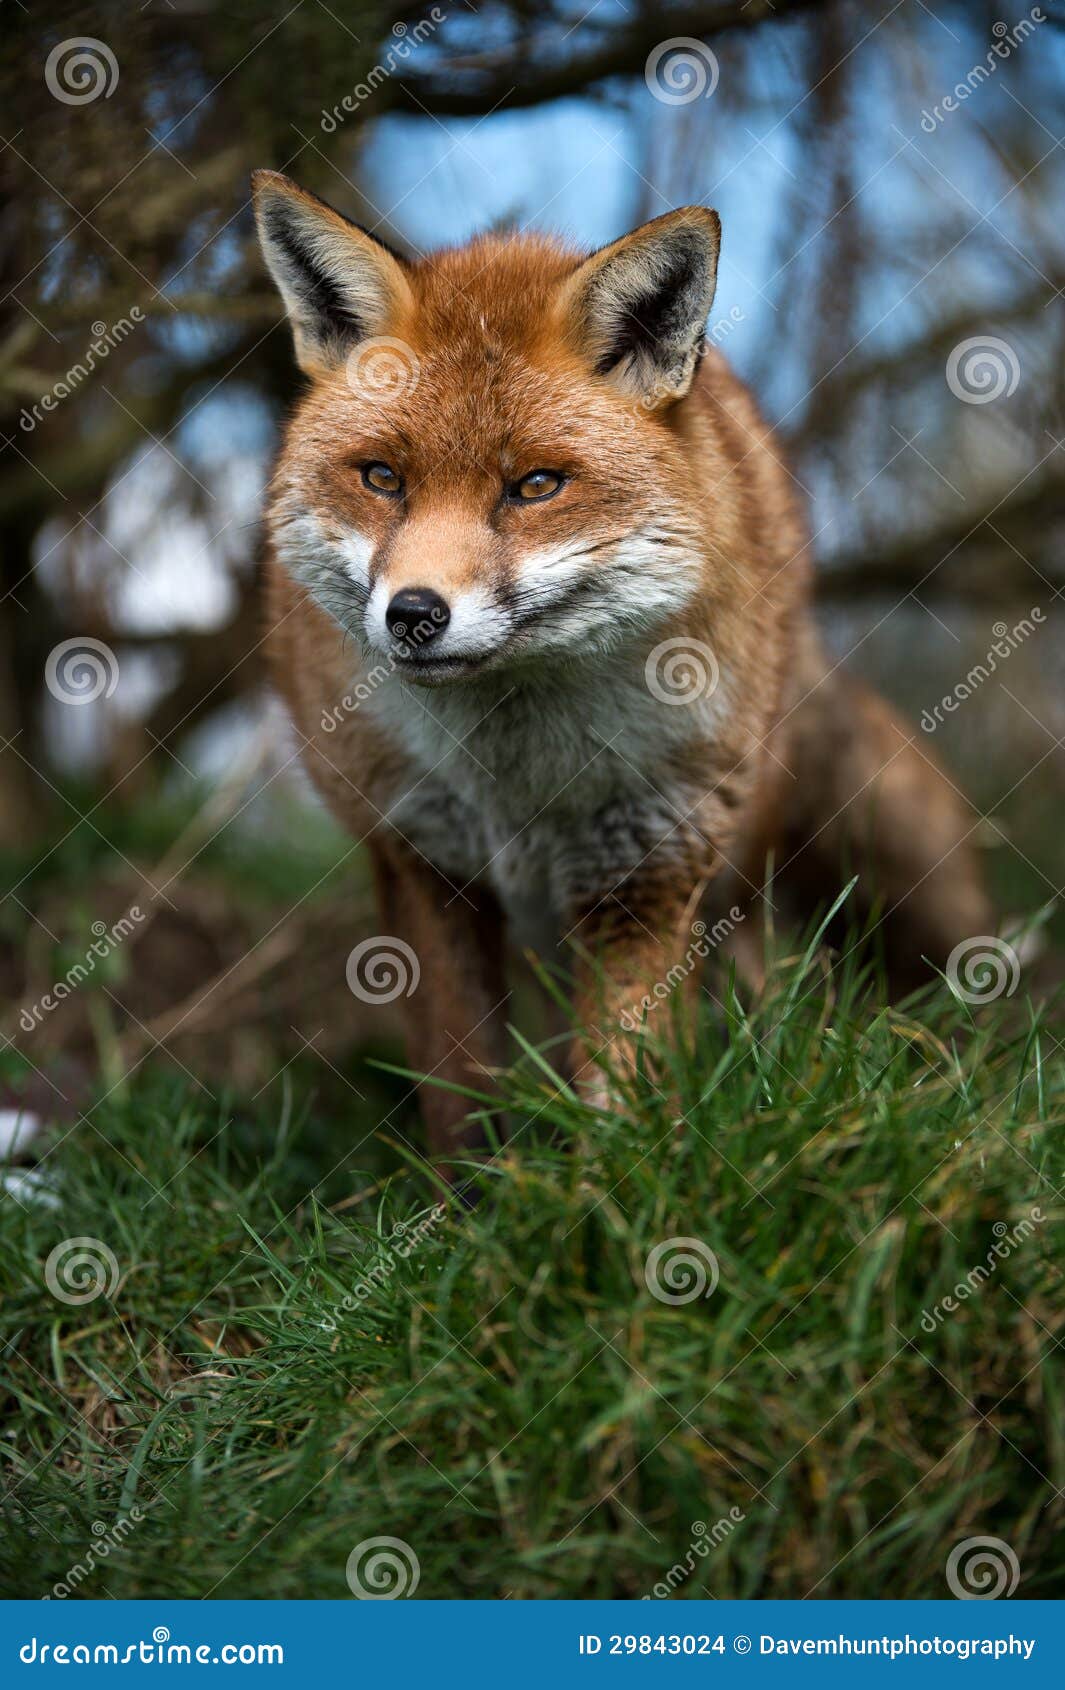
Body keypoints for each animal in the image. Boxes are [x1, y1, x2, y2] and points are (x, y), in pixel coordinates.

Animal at [252, 169, 992, 1159]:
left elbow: (623, 1090)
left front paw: (615, 1190)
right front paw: (469, 1197)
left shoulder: (647, 869)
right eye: (382, 478)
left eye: (534, 486)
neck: (519, 777)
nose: (412, 616)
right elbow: (460, 1093)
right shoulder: (422, 863)